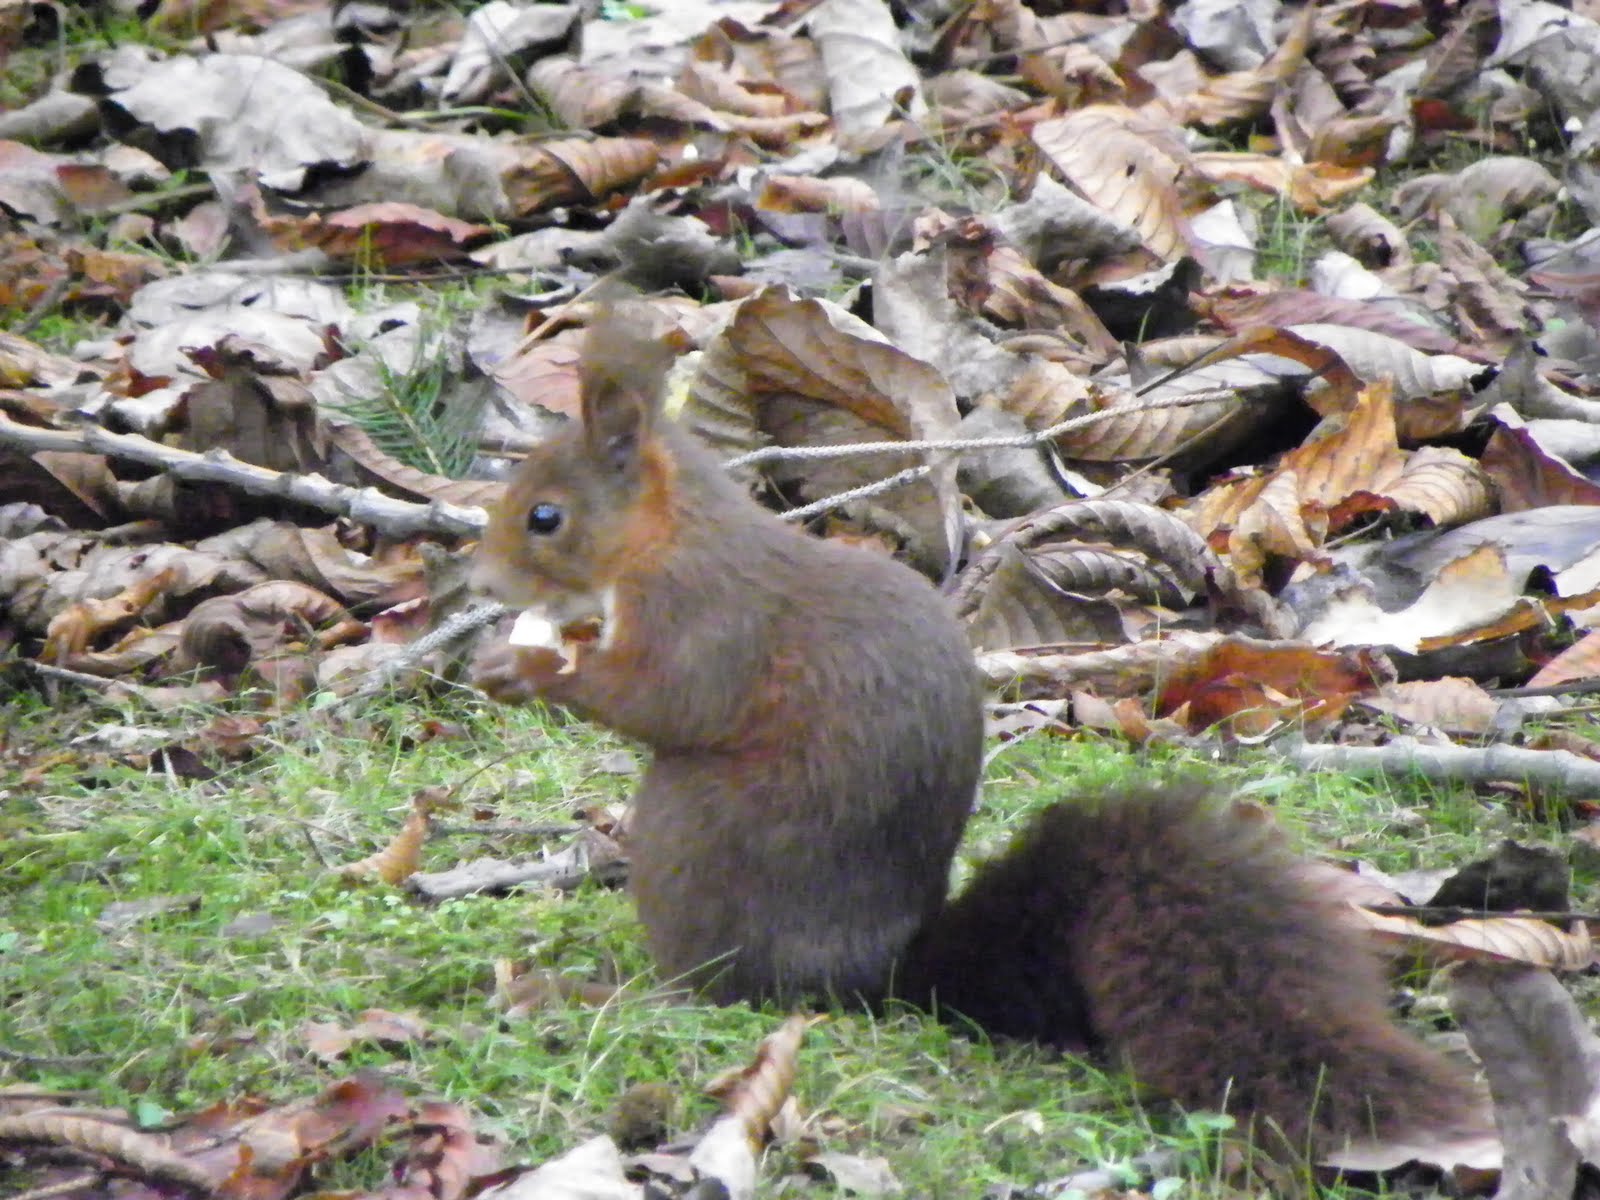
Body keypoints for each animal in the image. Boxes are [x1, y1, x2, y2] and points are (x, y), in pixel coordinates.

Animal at [470, 318, 1482, 1157]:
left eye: (545, 516)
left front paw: (531, 670)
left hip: (688, 837)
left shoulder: (707, 619)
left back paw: (595, 991)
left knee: (714, 989)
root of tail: (874, 976)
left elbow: (667, 701)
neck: (667, 536)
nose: (483, 582)